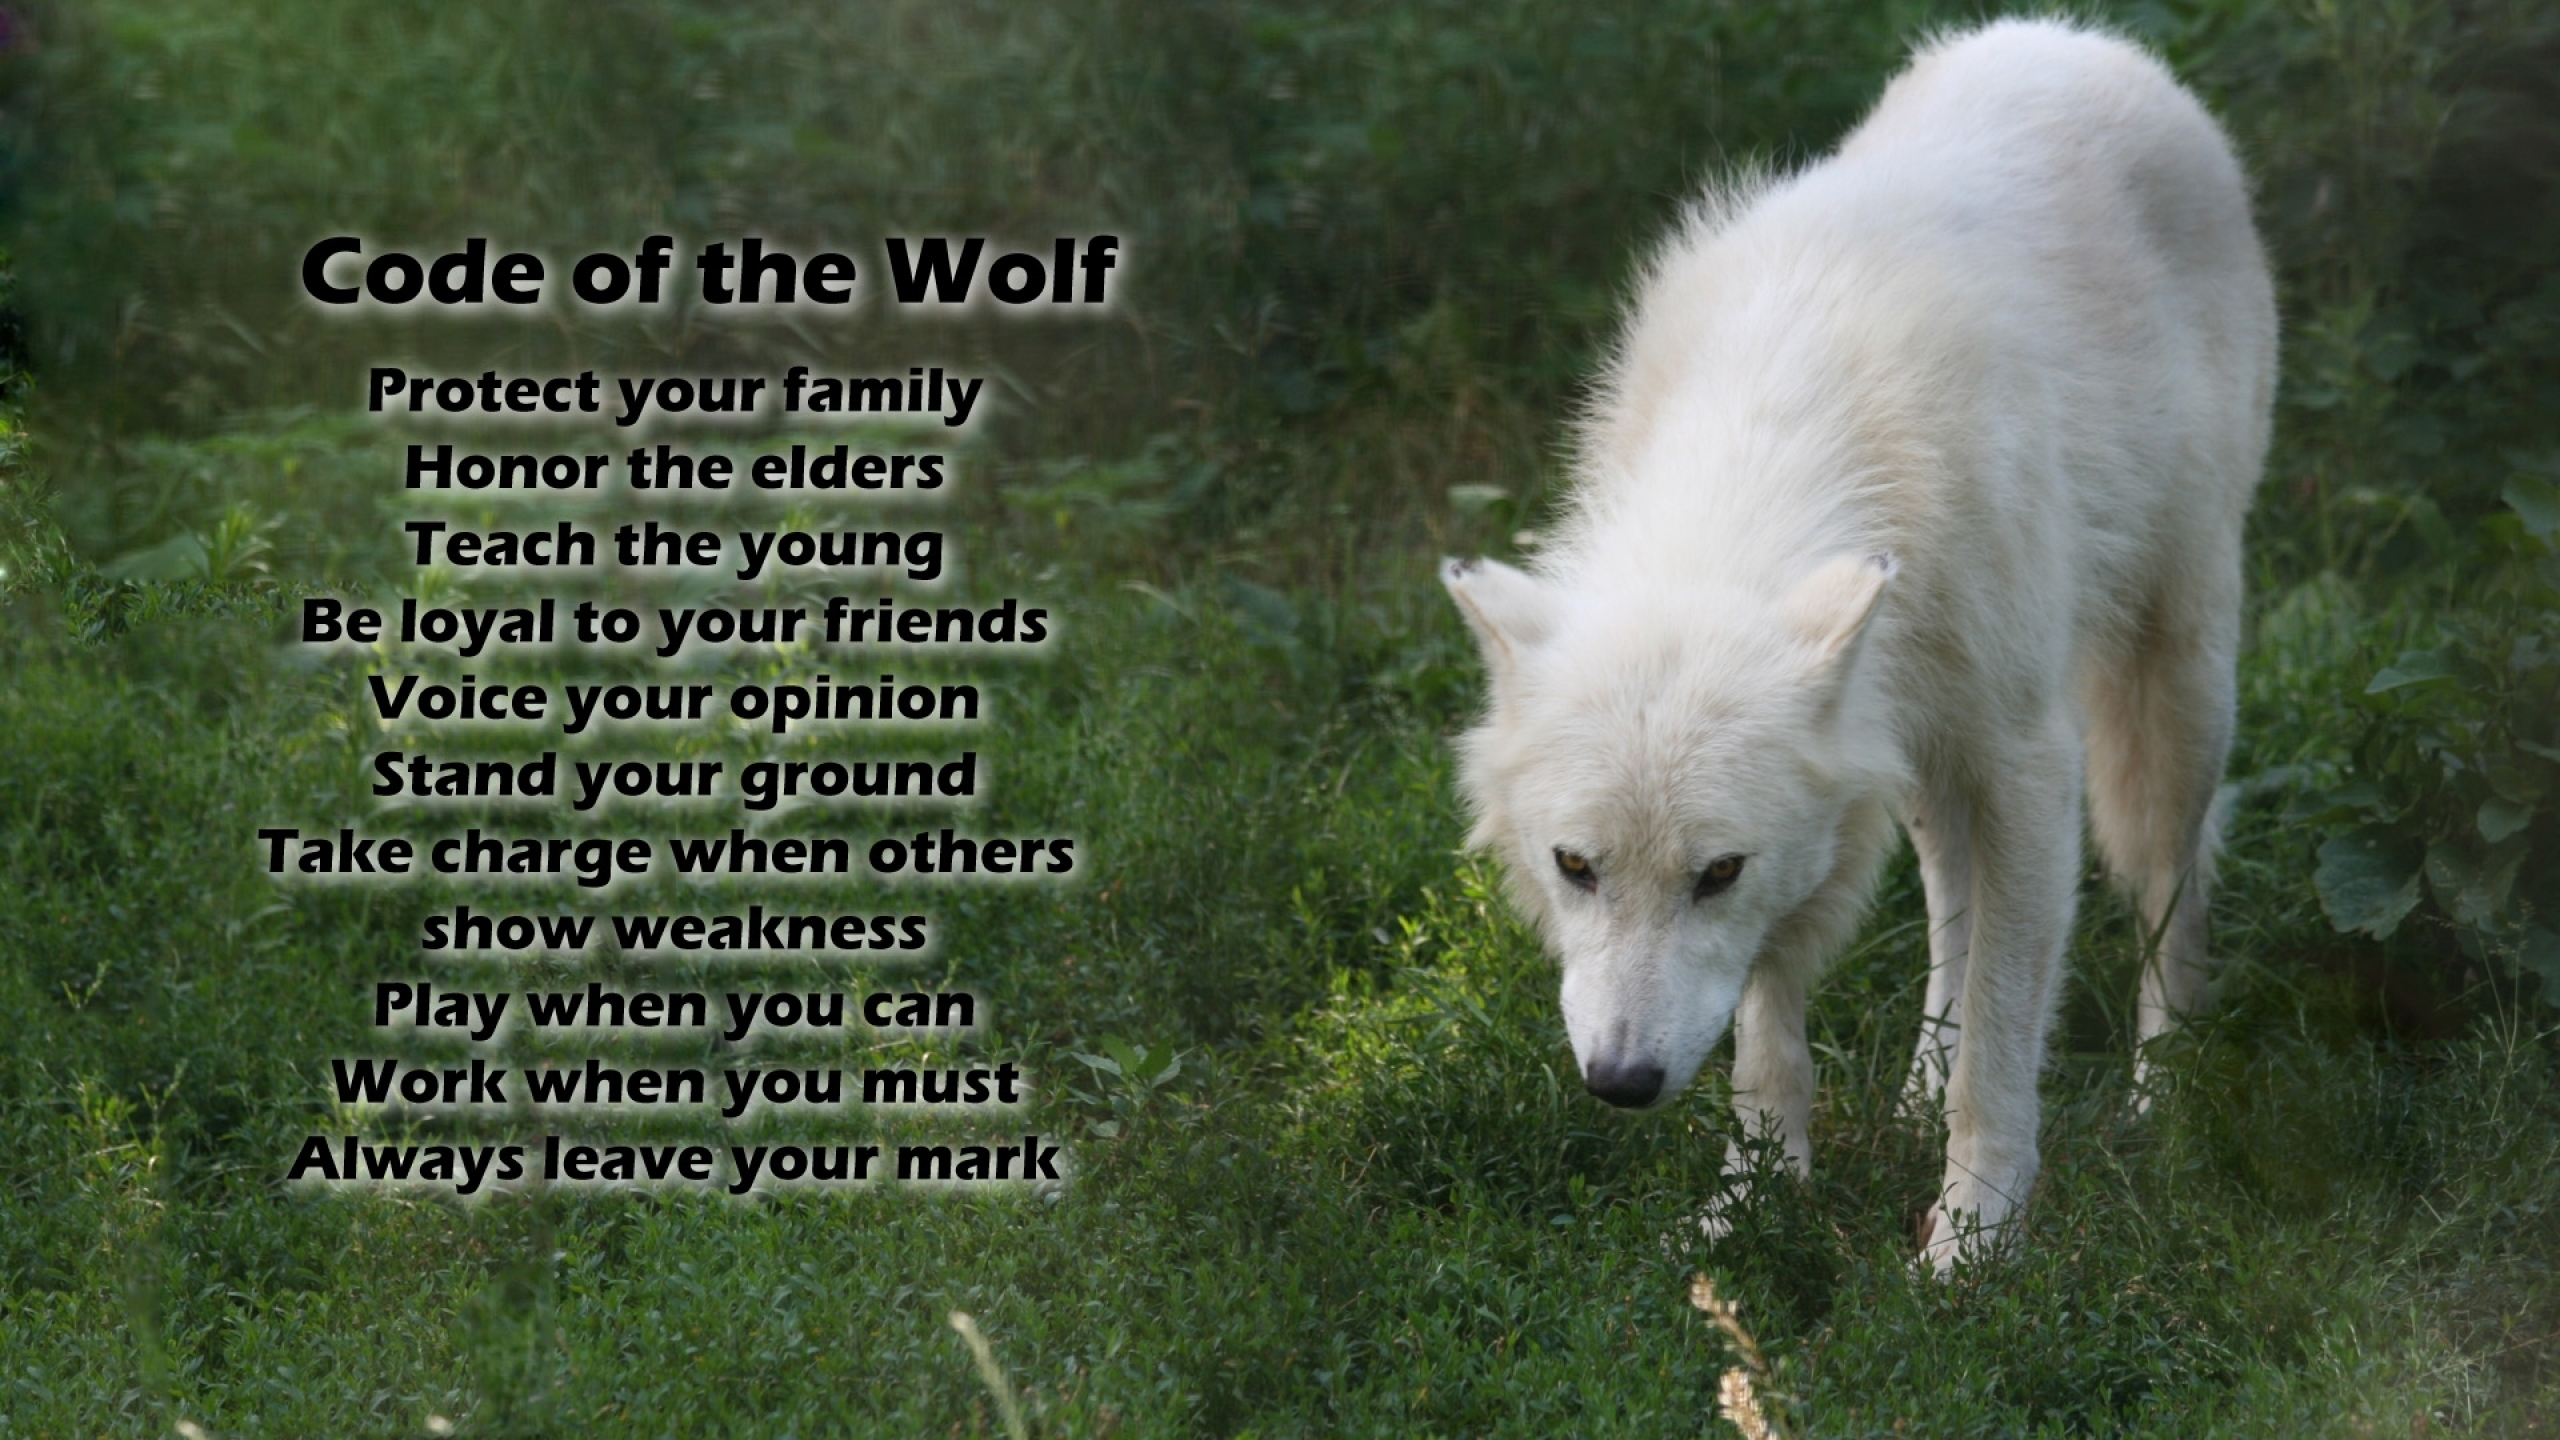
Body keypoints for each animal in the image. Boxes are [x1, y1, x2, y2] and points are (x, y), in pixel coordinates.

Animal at [1441, 19, 2274, 1270]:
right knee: (1951, 900)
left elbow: (2006, 1037)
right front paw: (1747, 1205)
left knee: (2170, 884)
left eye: (1713, 873)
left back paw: (2158, 1099)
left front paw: (1972, 1247)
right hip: (1924, 756)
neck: (1775, 440)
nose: (1622, 1084)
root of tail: (2077, 35)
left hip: (2171, 691)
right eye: (1575, 867)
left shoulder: (2028, 763)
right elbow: (1768, 1041)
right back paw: (1918, 1087)